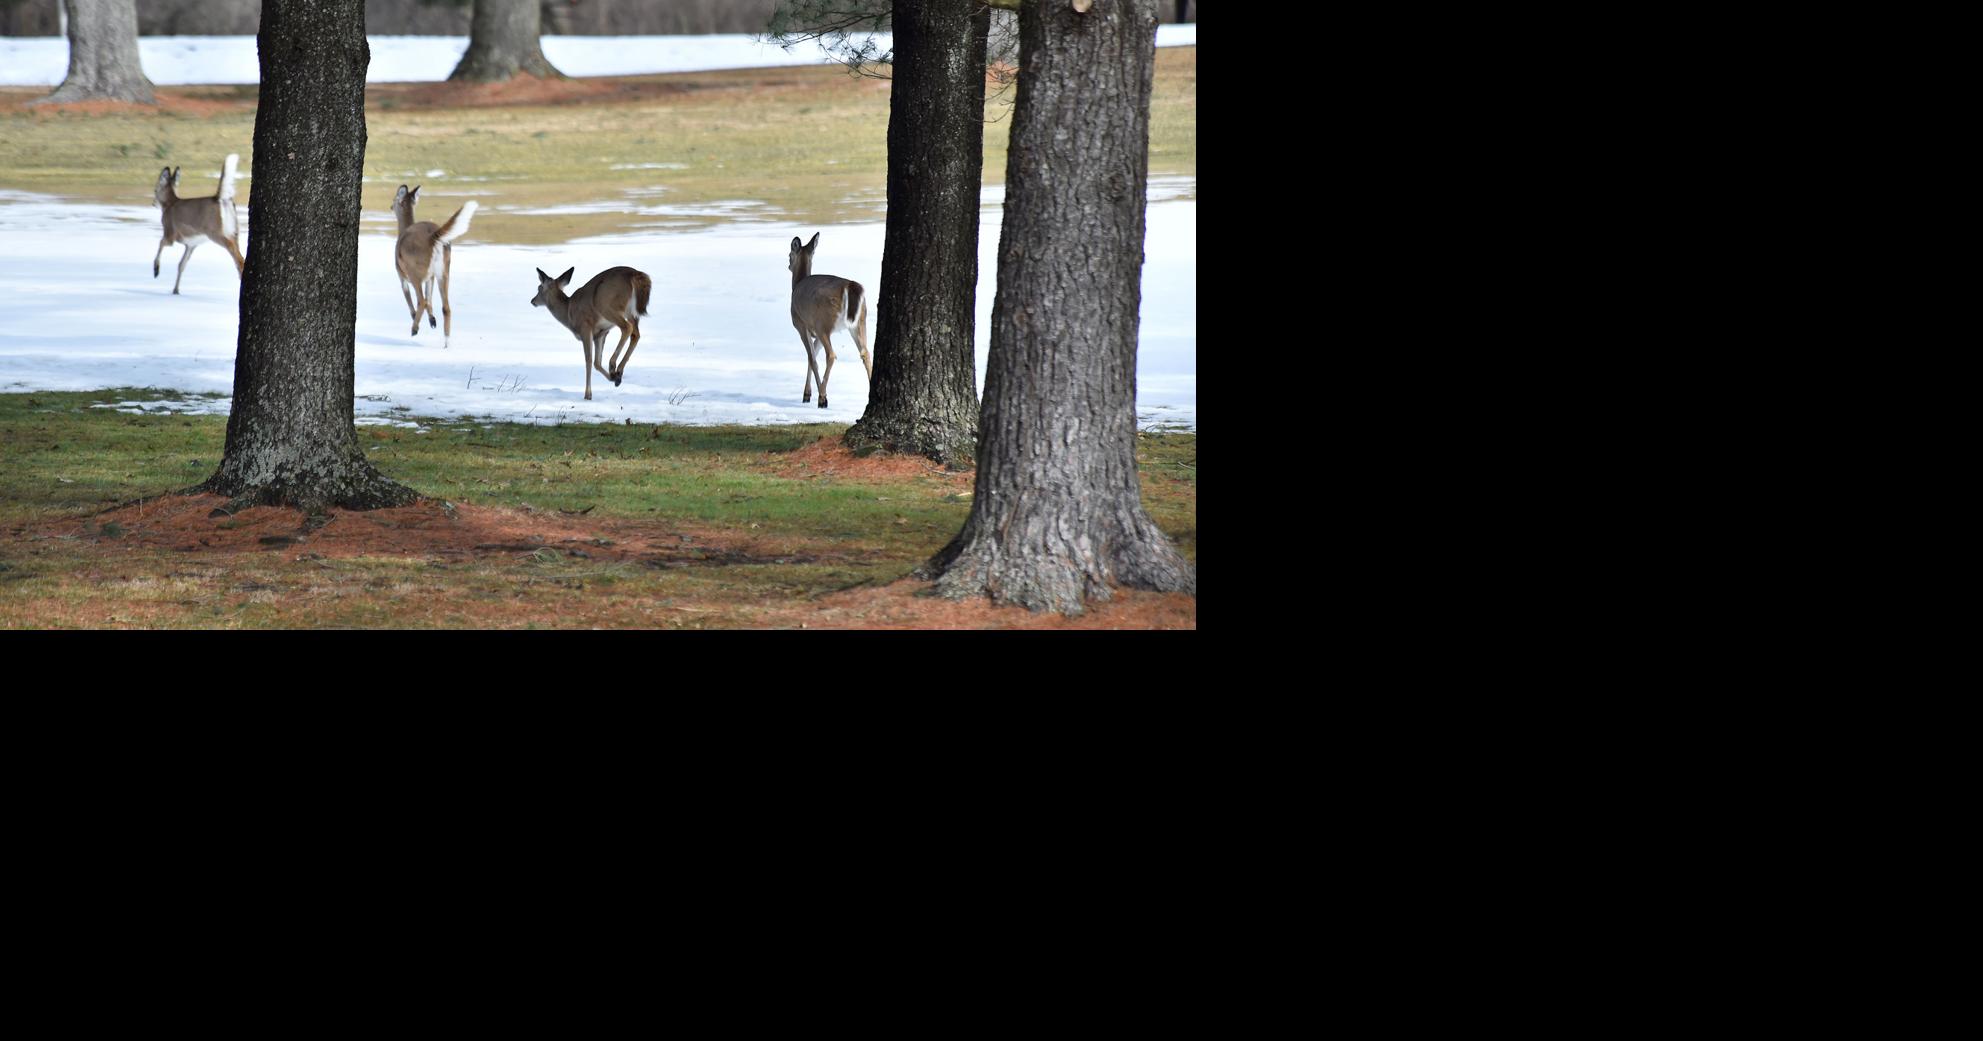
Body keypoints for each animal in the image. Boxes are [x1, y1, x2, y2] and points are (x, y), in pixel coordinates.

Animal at [152, 154, 245, 295]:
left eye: (155, 190)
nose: (153, 203)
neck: (169, 204)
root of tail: (220, 198)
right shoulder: (191, 244)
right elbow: (181, 265)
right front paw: (175, 290)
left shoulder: (170, 233)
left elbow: (161, 243)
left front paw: (156, 270)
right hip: (234, 230)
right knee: (239, 255)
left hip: (215, 232)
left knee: (236, 255)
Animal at [391, 185, 477, 347]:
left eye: (394, 199)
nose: (390, 206)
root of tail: (433, 237)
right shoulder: (429, 277)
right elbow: (430, 298)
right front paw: (432, 321)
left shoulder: (401, 275)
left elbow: (411, 299)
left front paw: (418, 319)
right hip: (444, 270)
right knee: (446, 307)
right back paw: (446, 344)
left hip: (414, 270)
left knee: (421, 301)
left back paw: (414, 329)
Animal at [530, 265, 654, 401]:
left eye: (539, 287)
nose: (533, 300)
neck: (568, 313)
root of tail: (635, 274)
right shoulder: (601, 333)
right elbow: (597, 363)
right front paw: (613, 378)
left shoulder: (586, 327)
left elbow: (588, 360)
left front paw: (588, 394)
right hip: (631, 312)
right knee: (636, 334)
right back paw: (618, 373)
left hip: (607, 305)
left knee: (627, 327)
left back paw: (613, 366)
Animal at [788, 232, 871, 408]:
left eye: (789, 255)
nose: (788, 265)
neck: (796, 285)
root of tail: (850, 284)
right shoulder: (816, 332)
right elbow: (812, 355)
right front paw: (807, 394)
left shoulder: (801, 324)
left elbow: (812, 358)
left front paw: (813, 394)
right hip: (860, 320)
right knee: (865, 352)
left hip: (823, 322)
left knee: (831, 355)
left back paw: (822, 397)